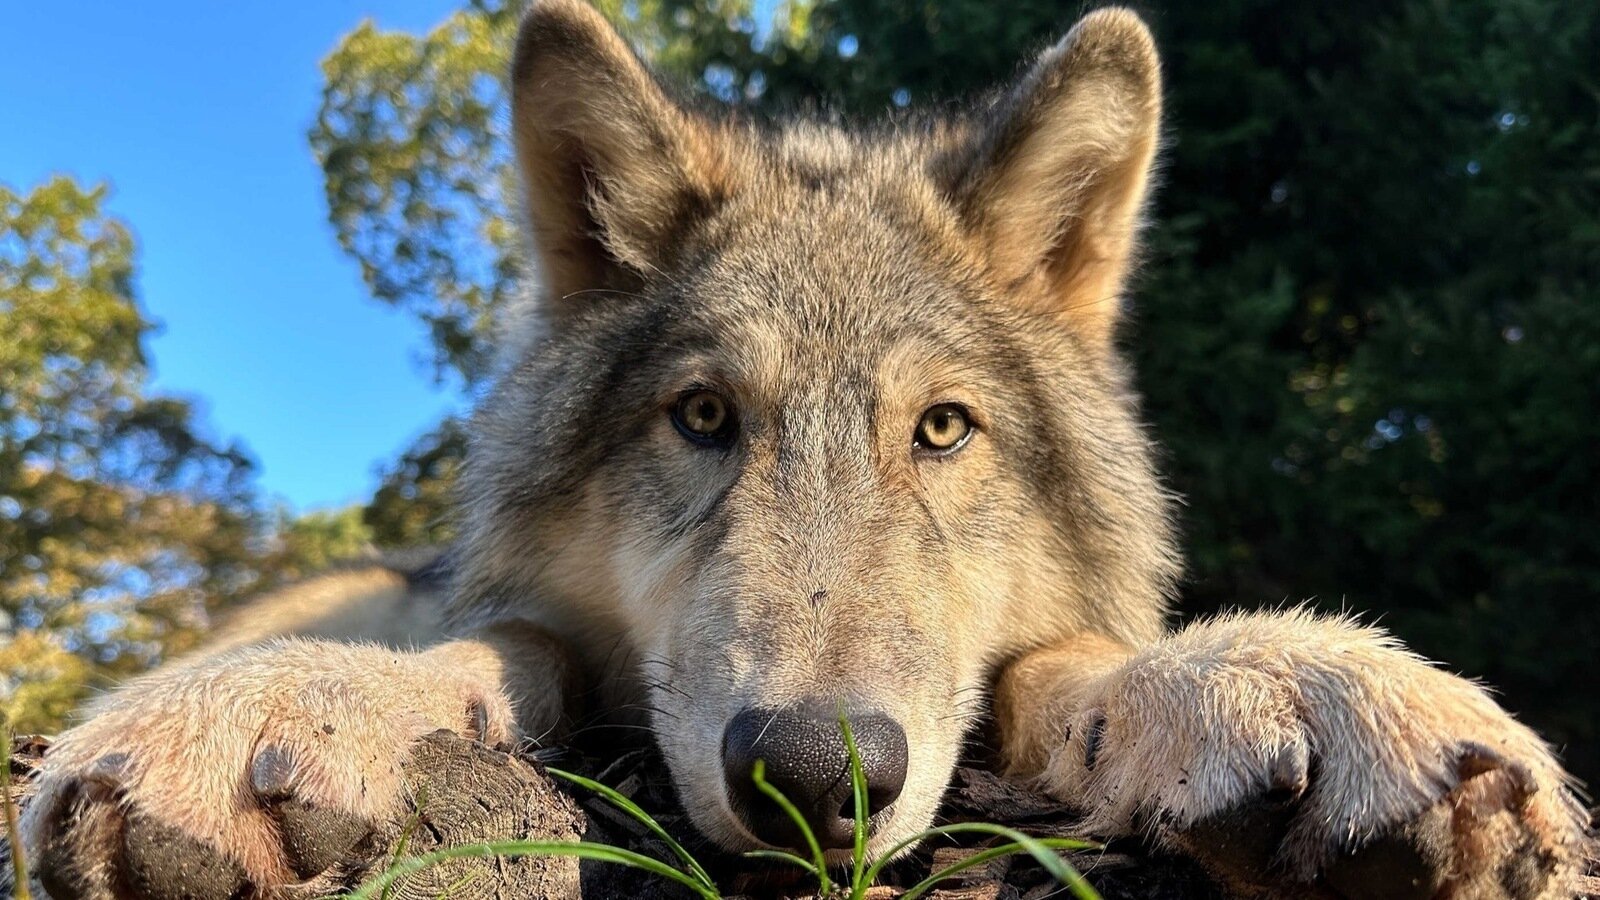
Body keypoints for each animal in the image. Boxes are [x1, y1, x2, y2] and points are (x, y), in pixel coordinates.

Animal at [20, 2, 1593, 898]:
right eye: (705, 418)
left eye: (943, 430)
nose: (813, 778)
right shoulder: (531, 630)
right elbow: (504, 647)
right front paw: (296, 703)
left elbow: (1070, 665)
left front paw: (1279, 674)